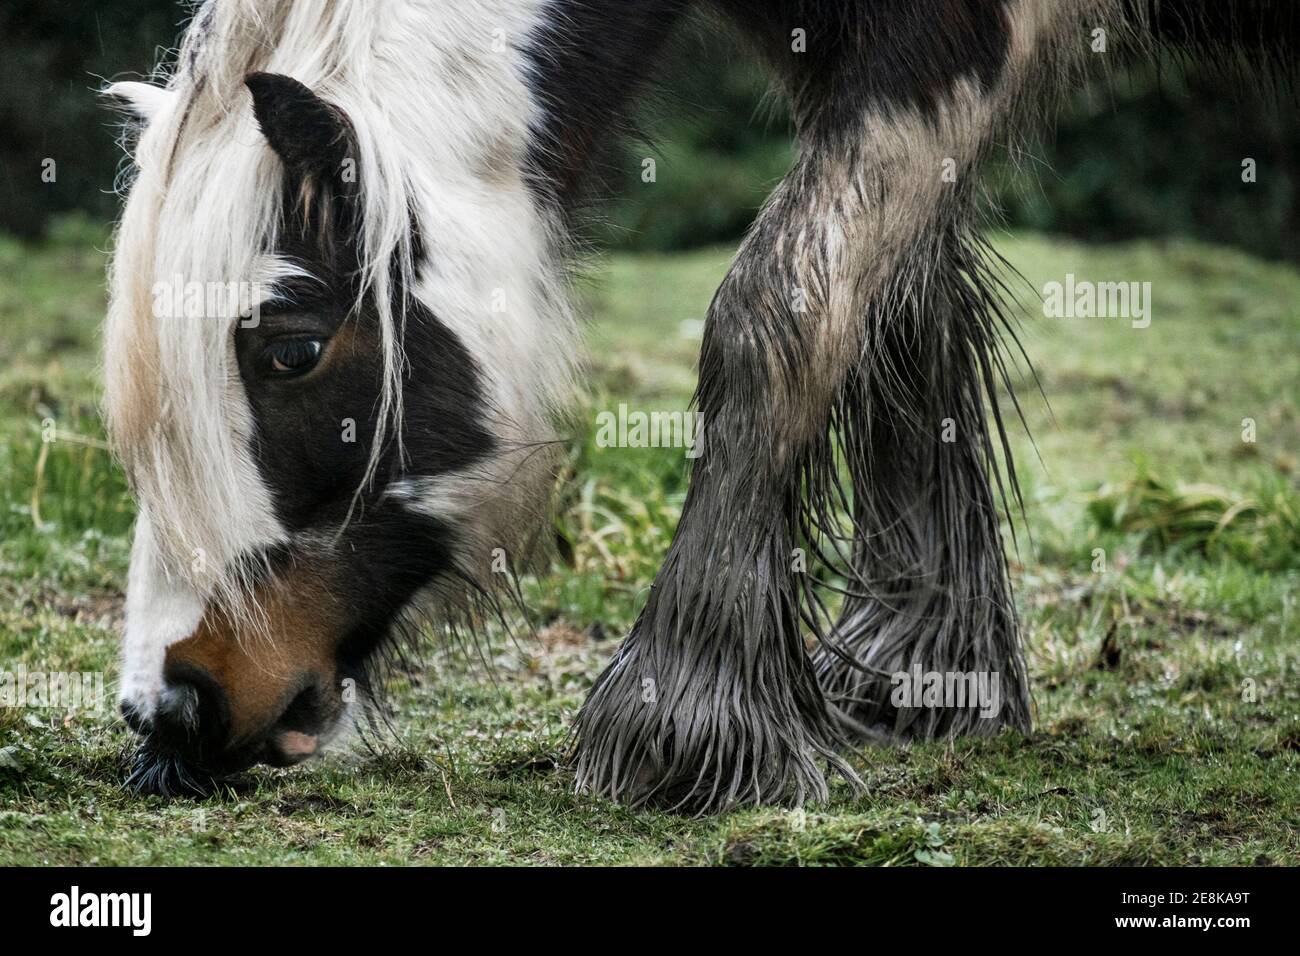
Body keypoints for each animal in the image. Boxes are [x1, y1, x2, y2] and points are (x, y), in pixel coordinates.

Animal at [103, 0, 1297, 811]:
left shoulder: (943, 40)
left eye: (292, 350)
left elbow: (780, 308)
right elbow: (899, 317)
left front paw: (682, 720)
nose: (171, 708)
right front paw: (918, 672)